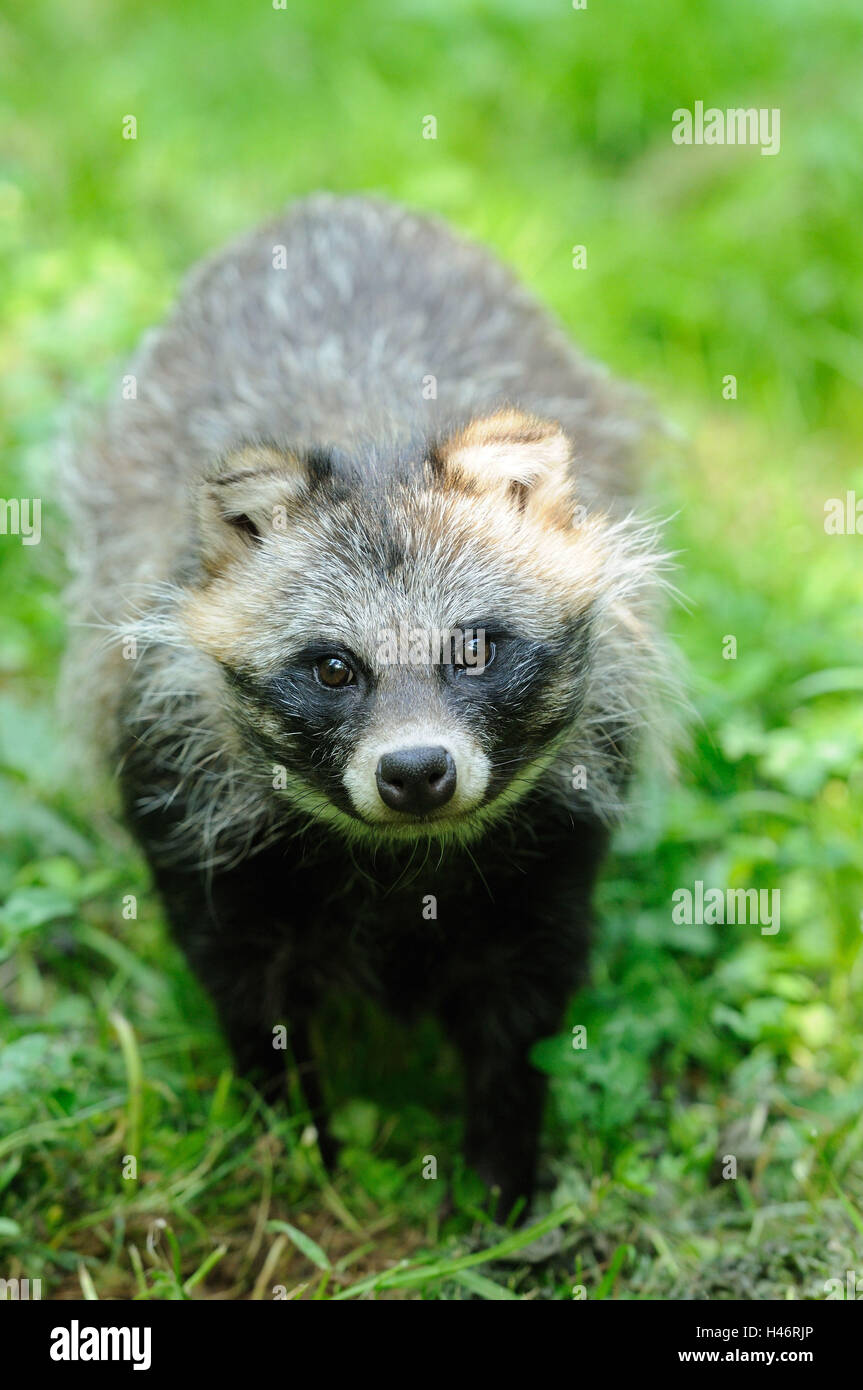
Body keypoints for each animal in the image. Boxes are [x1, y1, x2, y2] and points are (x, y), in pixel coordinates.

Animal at [64, 195, 674, 1218]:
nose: (416, 771)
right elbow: (251, 990)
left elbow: (523, 999)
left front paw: (501, 1176)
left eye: (475, 648)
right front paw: (295, 1148)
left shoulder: (559, 820)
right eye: (332, 668)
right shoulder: (195, 795)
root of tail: (334, 204)